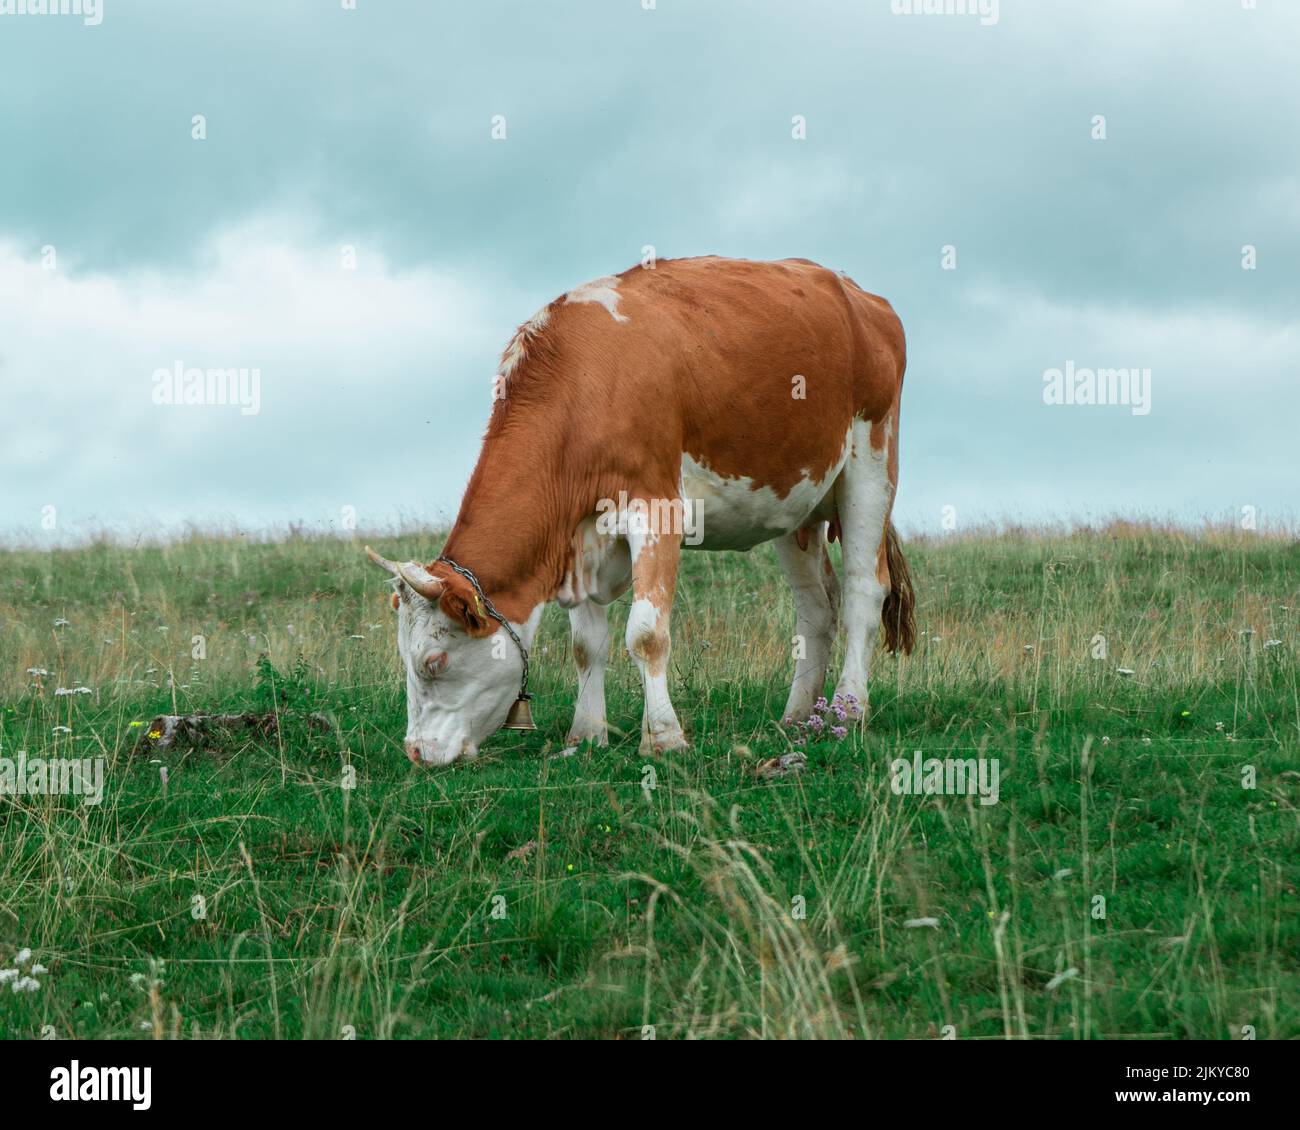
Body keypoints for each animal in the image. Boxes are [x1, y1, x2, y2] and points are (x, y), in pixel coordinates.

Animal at [366, 255, 914, 765]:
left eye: (434, 661)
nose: (415, 752)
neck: (583, 385)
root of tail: (859, 295)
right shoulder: (575, 534)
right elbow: (586, 645)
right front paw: (585, 735)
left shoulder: (656, 507)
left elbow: (647, 634)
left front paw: (664, 738)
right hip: (796, 501)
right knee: (816, 606)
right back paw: (799, 716)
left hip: (871, 462)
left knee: (864, 592)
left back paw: (846, 710)